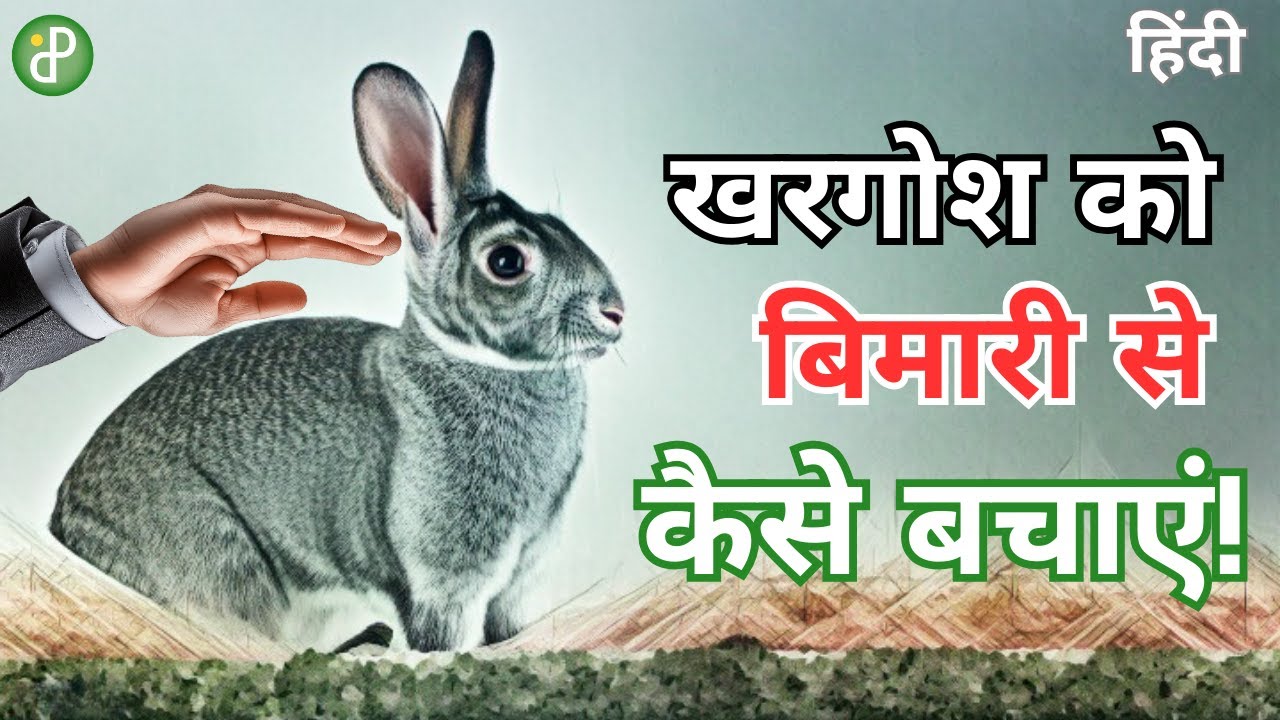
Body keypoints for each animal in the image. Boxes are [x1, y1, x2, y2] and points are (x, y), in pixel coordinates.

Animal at [49, 30, 624, 652]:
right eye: (507, 262)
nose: (615, 311)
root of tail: (66, 533)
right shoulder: (447, 579)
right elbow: (444, 636)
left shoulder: (519, 577)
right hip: (219, 557)